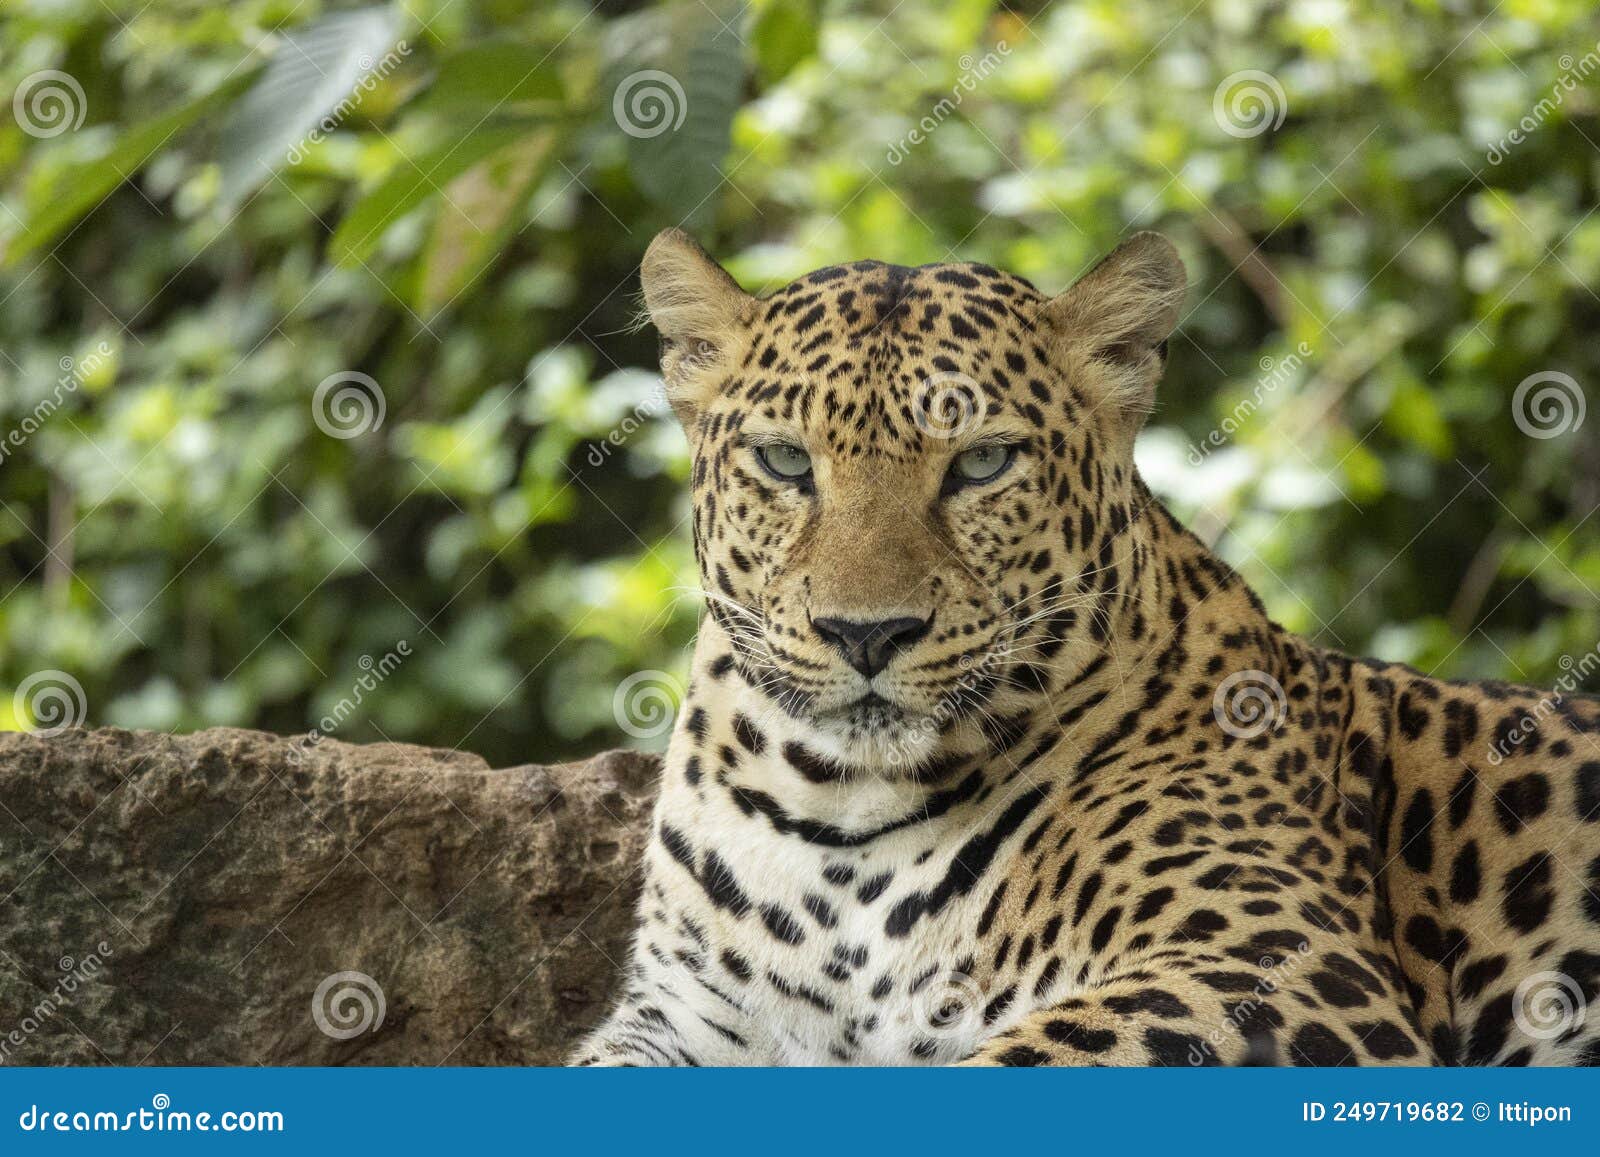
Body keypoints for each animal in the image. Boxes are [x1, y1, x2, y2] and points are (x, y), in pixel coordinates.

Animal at [570, 227, 1600, 1067]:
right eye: (785, 461)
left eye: (983, 462)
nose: (868, 633)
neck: (842, 819)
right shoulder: (686, 1012)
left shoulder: (1278, 966)